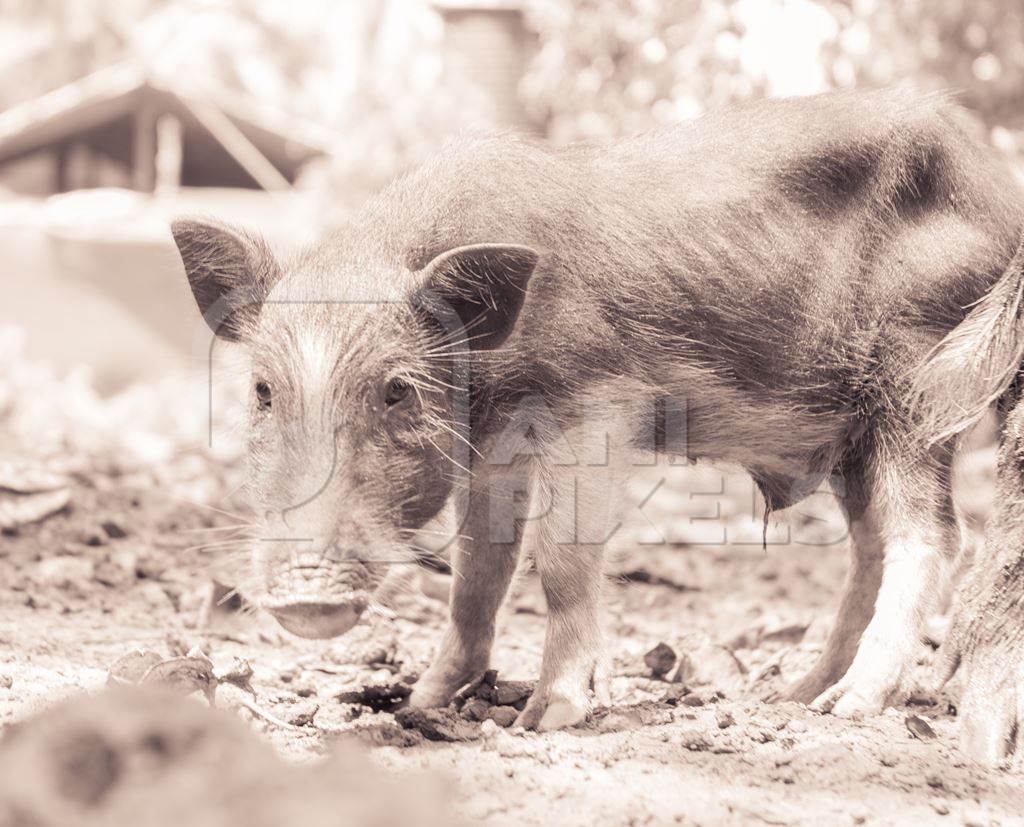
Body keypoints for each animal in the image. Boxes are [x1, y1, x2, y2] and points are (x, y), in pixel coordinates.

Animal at [171, 88, 1024, 731]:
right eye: (262, 390)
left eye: (397, 389)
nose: (304, 590)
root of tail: (1001, 192)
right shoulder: (492, 451)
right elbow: (478, 573)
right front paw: (423, 700)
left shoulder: (598, 402)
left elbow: (560, 559)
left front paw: (548, 716)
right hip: (851, 431)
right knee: (869, 548)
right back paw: (796, 694)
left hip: (917, 373)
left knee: (933, 535)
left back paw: (851, 705)